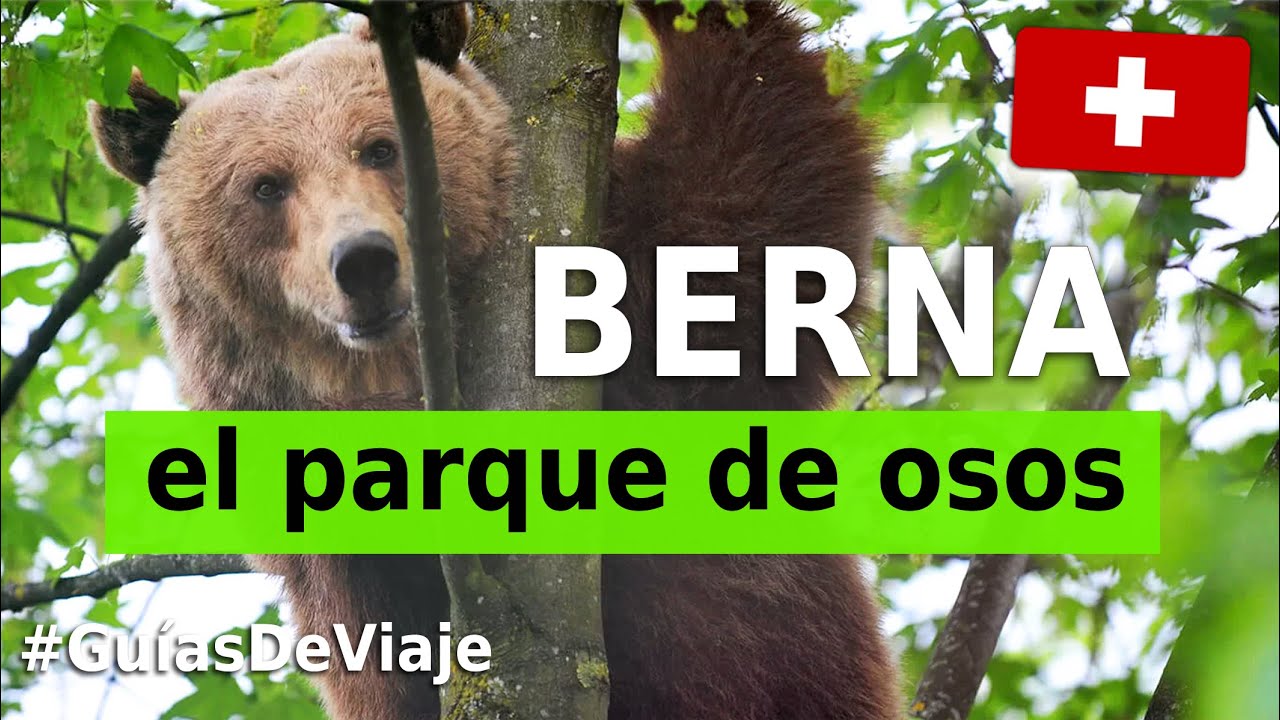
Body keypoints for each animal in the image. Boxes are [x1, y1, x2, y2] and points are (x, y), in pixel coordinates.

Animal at [89, 2, 901, 719]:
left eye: (380, 146)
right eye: (266, 185)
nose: (364, 262)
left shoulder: (651, 309)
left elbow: (751, 190)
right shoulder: (348, 573)